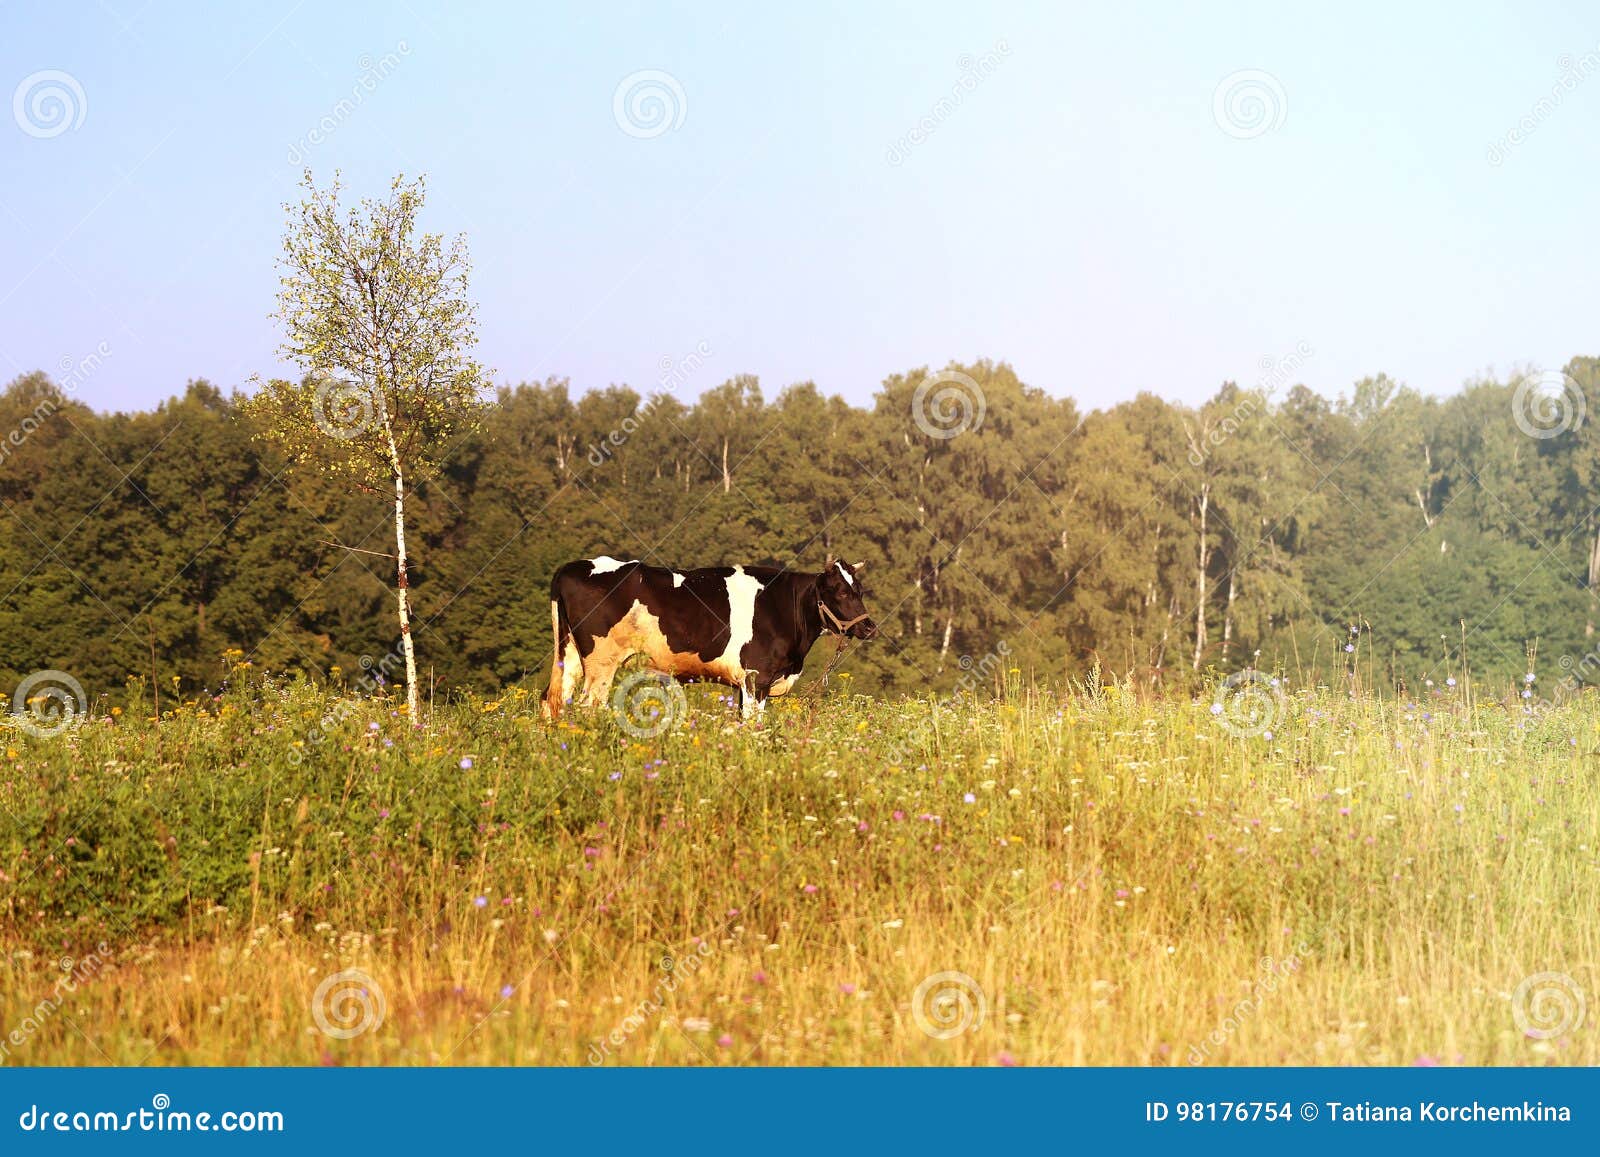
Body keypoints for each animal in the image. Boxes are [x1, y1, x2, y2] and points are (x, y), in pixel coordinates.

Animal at [542, 554, 878, 721]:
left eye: (860, 590)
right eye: (840, 592)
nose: (869, 627)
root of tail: (572, 567)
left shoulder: (744, 683)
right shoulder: (757, 677)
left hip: (569, 655)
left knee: (552, 700)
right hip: (601, 662)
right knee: (587, 706)